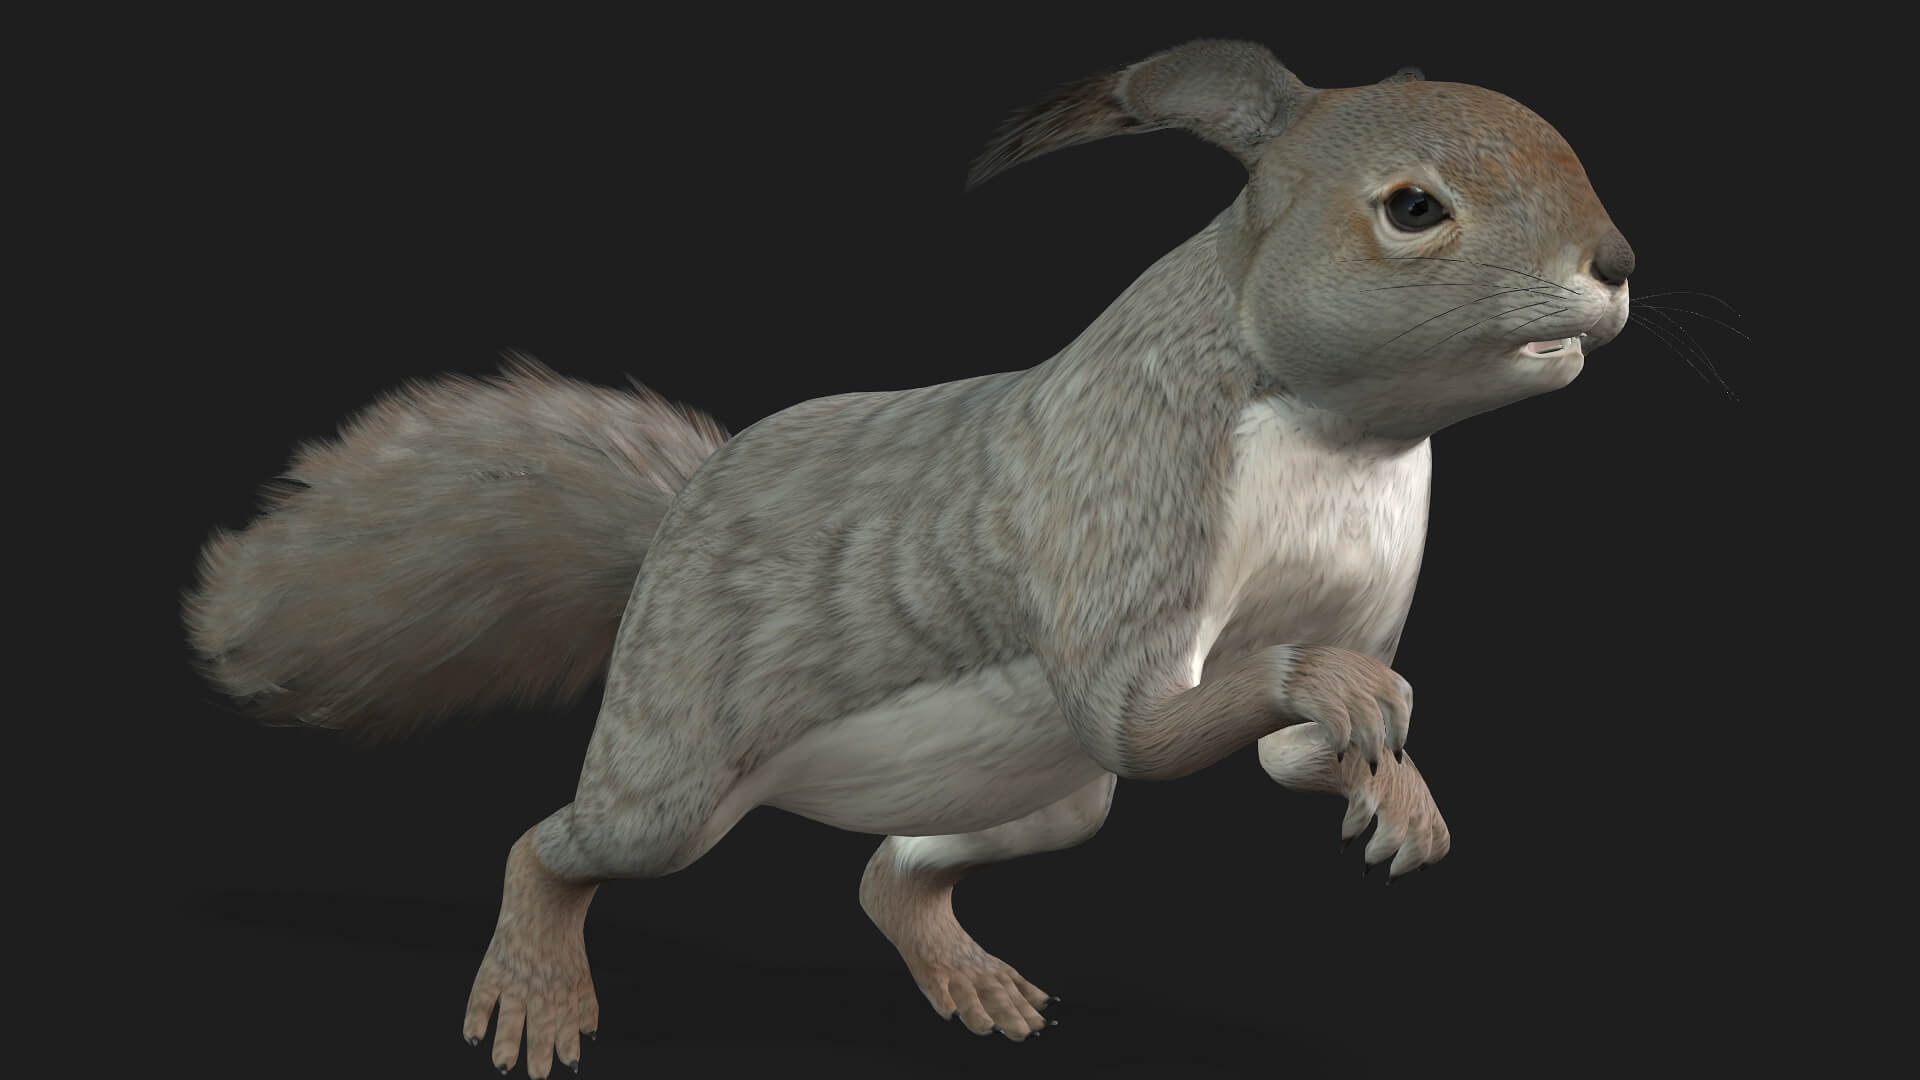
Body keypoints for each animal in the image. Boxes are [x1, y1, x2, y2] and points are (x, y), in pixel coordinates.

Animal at [185, 39, 1632, 1077]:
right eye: (1410, 208)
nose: (1614, 262)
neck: (1343, 441)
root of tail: (675, 531)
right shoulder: (1128, 512)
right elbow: (1143, 717)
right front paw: (1335, 689)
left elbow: (1282, 759)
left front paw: (1397, 791)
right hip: (672, 768)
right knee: (554, 846)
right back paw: (537, 986)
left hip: (1038, 802)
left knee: (892, 874)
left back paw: (964, 973)